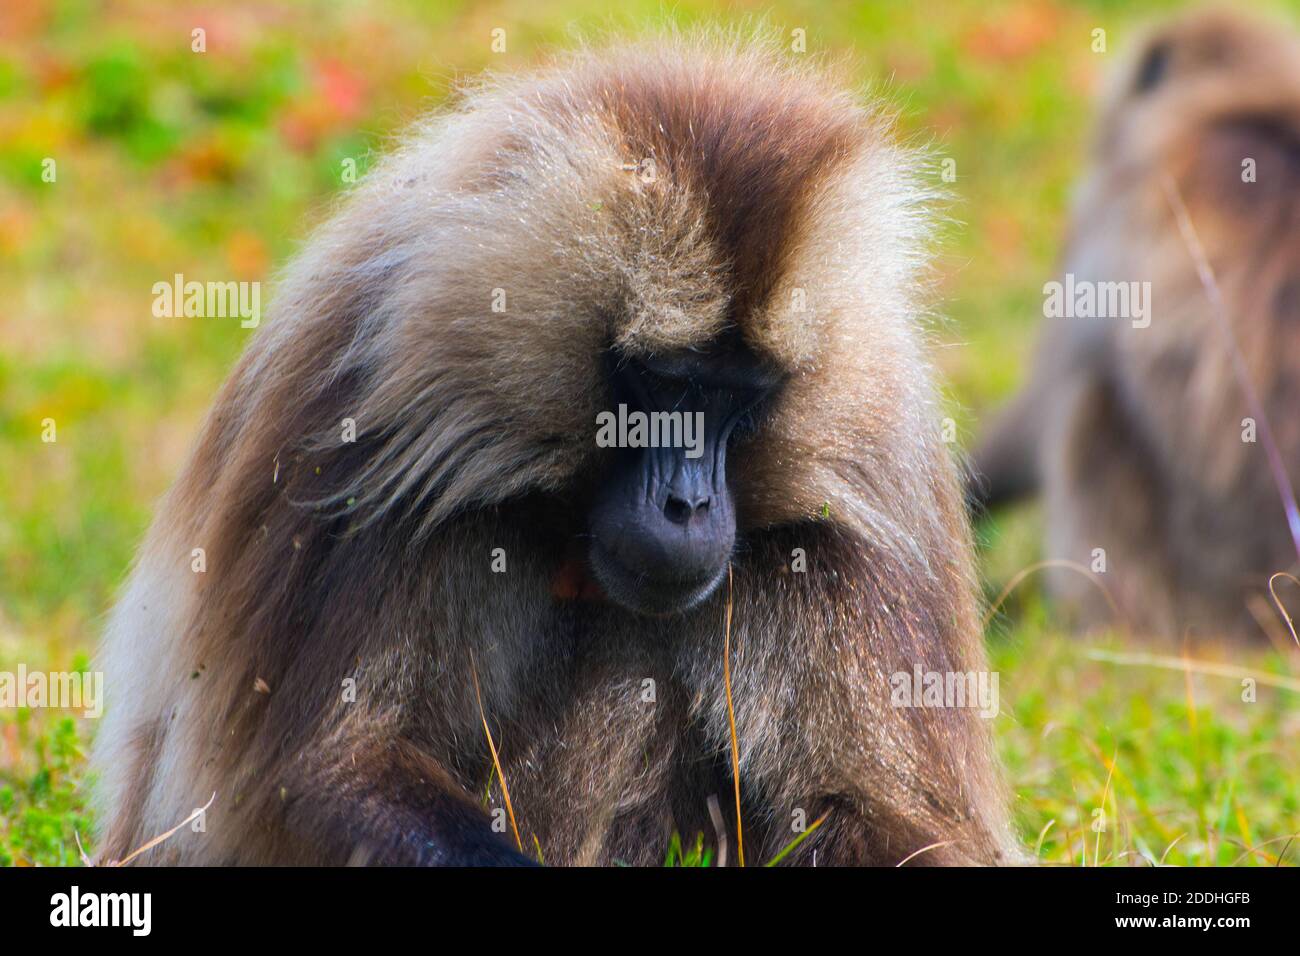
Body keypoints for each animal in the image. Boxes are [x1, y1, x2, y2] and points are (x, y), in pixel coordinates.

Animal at [92, 35, 1019, 866]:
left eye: (738, 393)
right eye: (665, 383)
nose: (688, 507)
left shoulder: (872, 494)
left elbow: (880, 809)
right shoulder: (364, 431)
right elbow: (316, 779)